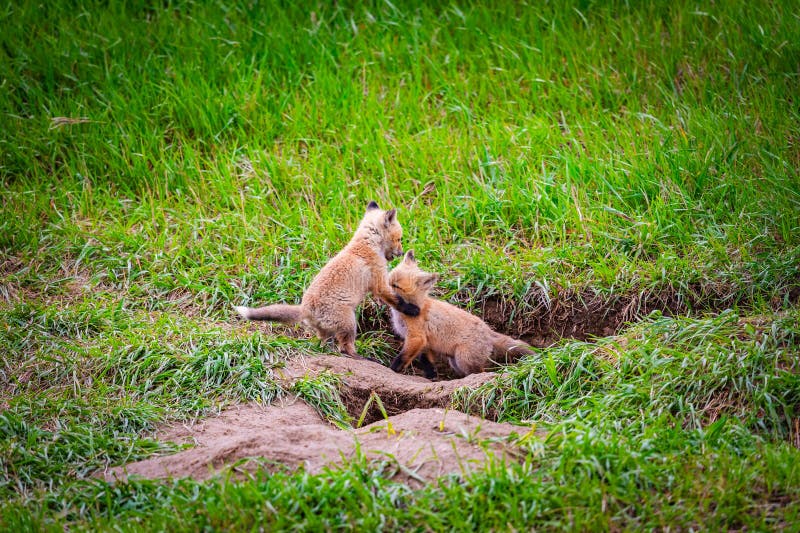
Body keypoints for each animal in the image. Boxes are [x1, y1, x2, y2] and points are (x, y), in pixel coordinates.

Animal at [234, 201, 419, 360]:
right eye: (399, 239)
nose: (401, 252)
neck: (367, 245)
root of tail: (305, 308)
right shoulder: (379, 283)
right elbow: (397, 301)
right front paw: (412, 310)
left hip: (326, 331)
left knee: (323, 344)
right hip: (349, 322)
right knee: (345, 348)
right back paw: (364, 358)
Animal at [387, 250, 534, 378]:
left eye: (396, 286)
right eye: (389, 278)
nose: (382, 288)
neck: (416, 307)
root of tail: (488, 331)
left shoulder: (416, 337)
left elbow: (402, 358)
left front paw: (393, 369)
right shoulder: (425, 343)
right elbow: (428, 363)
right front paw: (432, 377)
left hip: (463, 359)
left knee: (479, 372)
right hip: (455, 362)